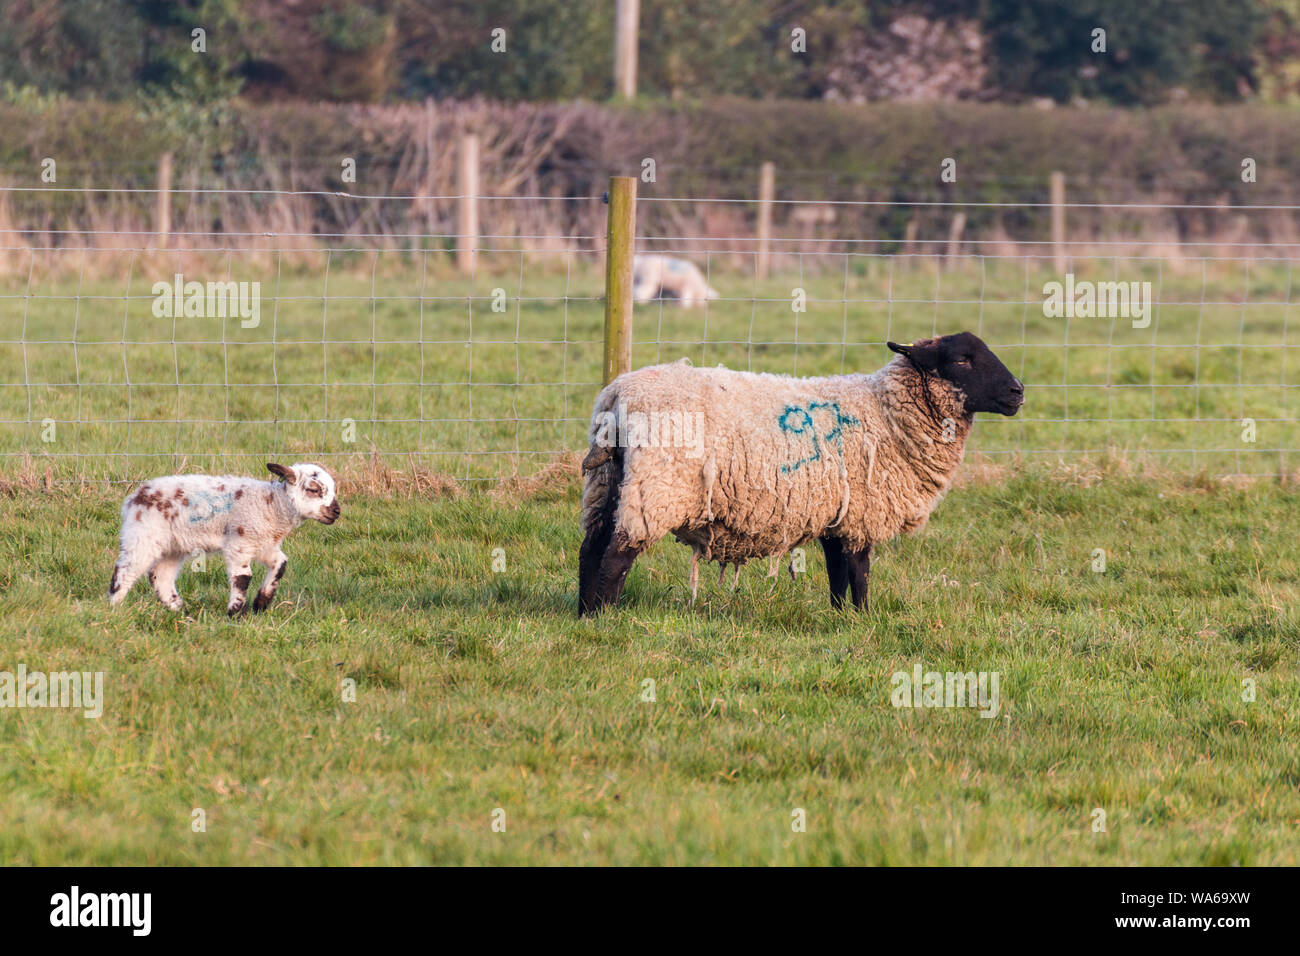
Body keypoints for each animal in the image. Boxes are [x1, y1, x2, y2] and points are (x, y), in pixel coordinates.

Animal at [108, 462, 341, 615]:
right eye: (313, 489)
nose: (336, 511)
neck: (272, 505)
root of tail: (134, 498)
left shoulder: (264, 544)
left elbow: (281, 564)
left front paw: (261, 603)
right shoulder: (240, 542)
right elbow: (243, 577)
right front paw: (236, 612)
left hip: (174, 544)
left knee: (160, 575)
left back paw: (180, 610)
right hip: (143, 535)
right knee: (126, 569)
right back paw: (114, 607)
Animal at [577, 332, 1024, 616]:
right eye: (962, 359)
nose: (1018, 391)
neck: (885, 412)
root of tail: (618, 394)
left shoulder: (839, 514)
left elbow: (838, 574)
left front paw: (842, 619)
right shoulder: (862, 511)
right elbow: (860, 572)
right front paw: (865, 621)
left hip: (607, 483)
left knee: (590, 549)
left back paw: (584, 614)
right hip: (655, 487)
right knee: (617, 555)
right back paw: (606, 618)